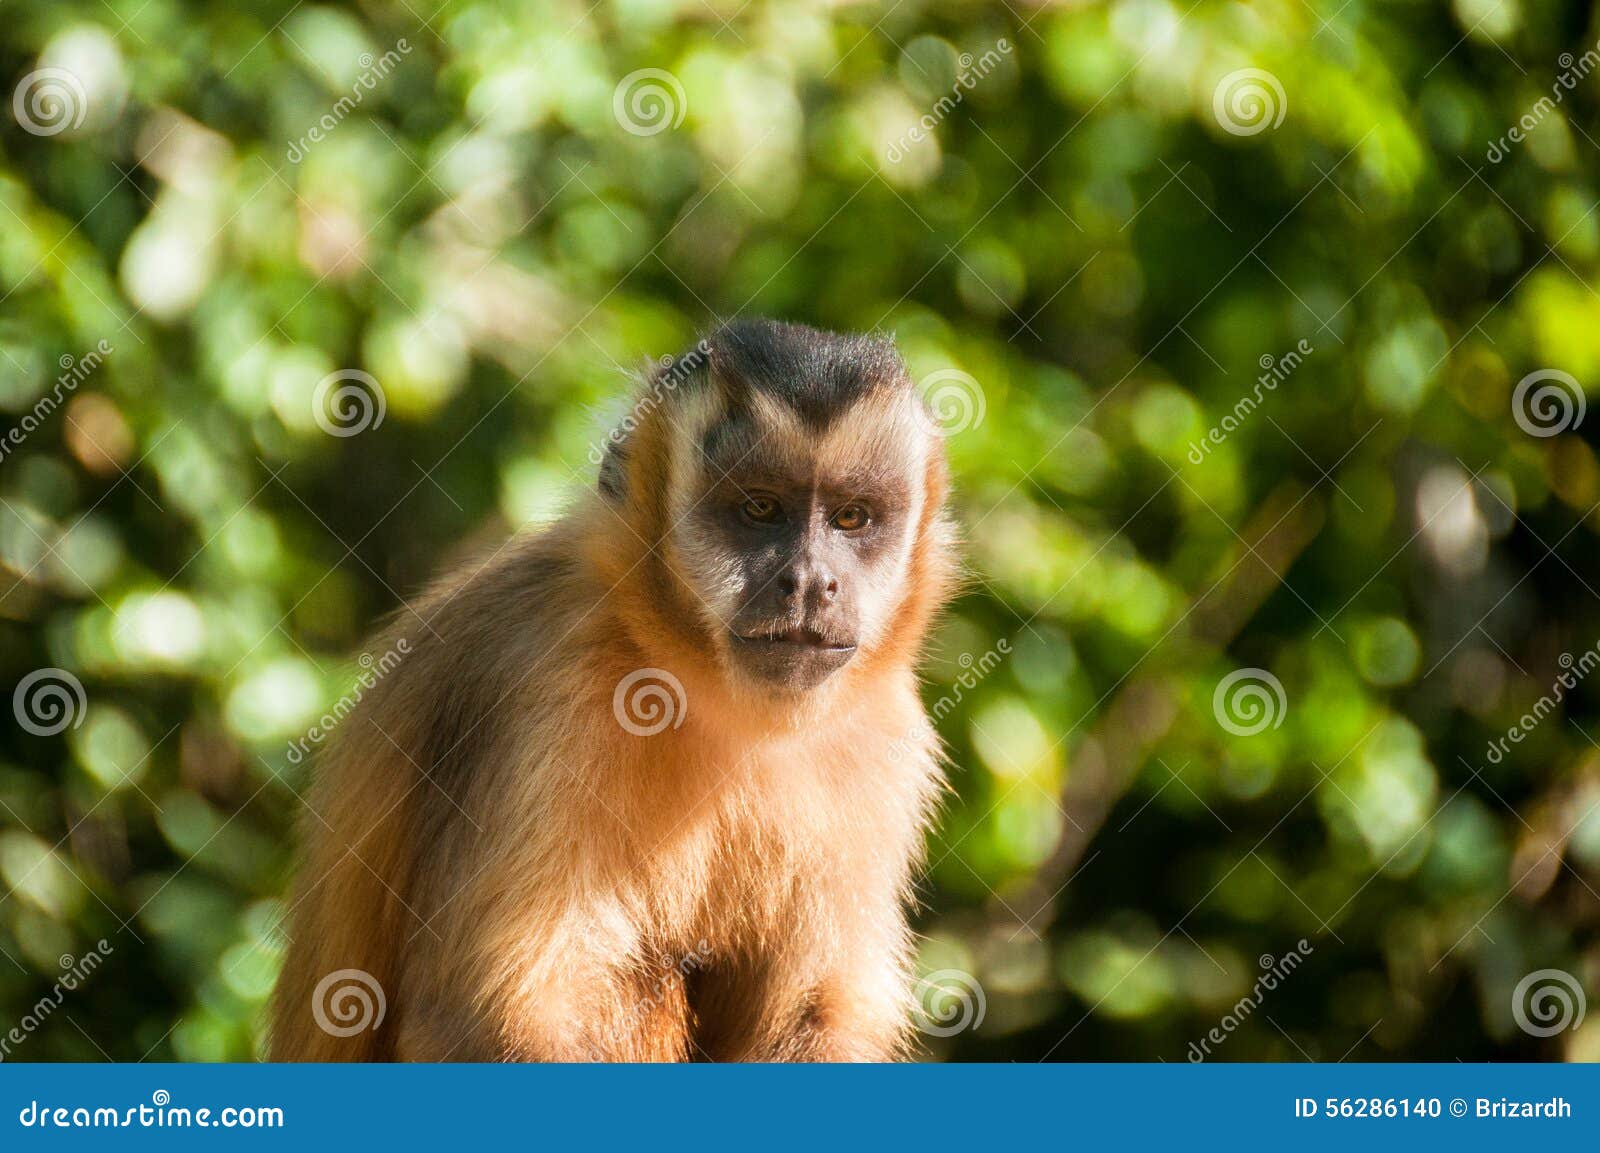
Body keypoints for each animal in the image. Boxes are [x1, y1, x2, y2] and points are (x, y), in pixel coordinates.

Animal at [269, 317, 958, 1062]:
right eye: (760, 509)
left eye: (852, 518)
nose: (809, 581)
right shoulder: (550, 680)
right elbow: (485, 1019)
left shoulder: (886, 731)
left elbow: (815, 1010)